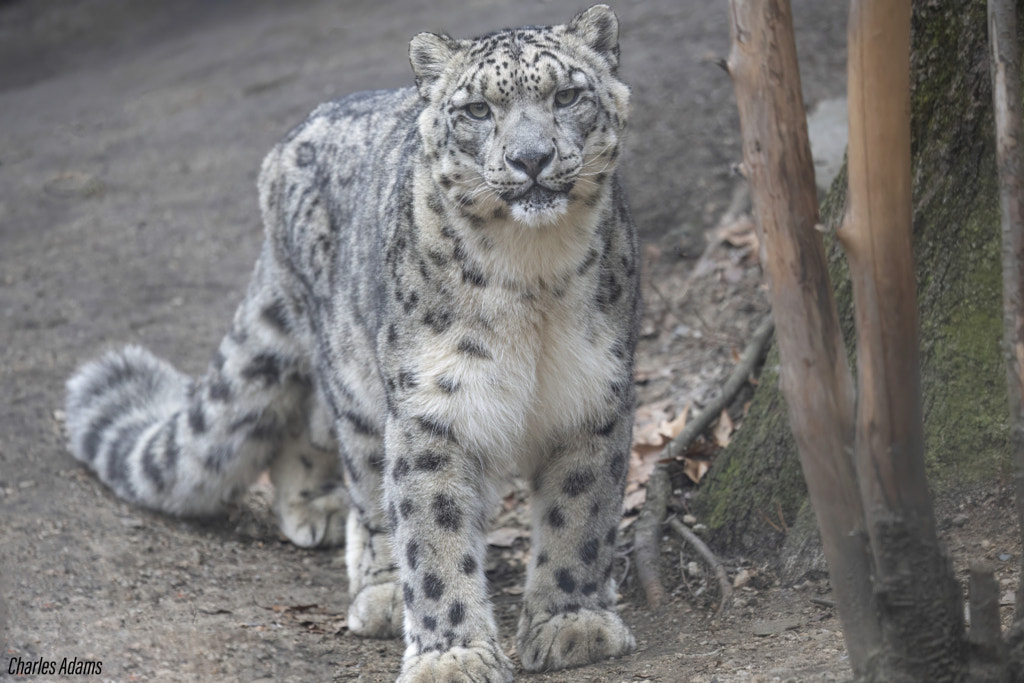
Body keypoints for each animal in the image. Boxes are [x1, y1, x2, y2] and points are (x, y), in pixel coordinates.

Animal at [64, 5, 639, 681]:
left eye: (567, 96)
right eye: (477, 110)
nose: (530, 158)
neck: (533, 273)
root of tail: (290, 140)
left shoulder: (593, 392)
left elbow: (579, 514)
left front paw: (573, 623)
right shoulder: (432, 406)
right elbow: (433, 532)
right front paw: (453, 655)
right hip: (353, 370)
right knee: (360, 464)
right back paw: (374, 579)